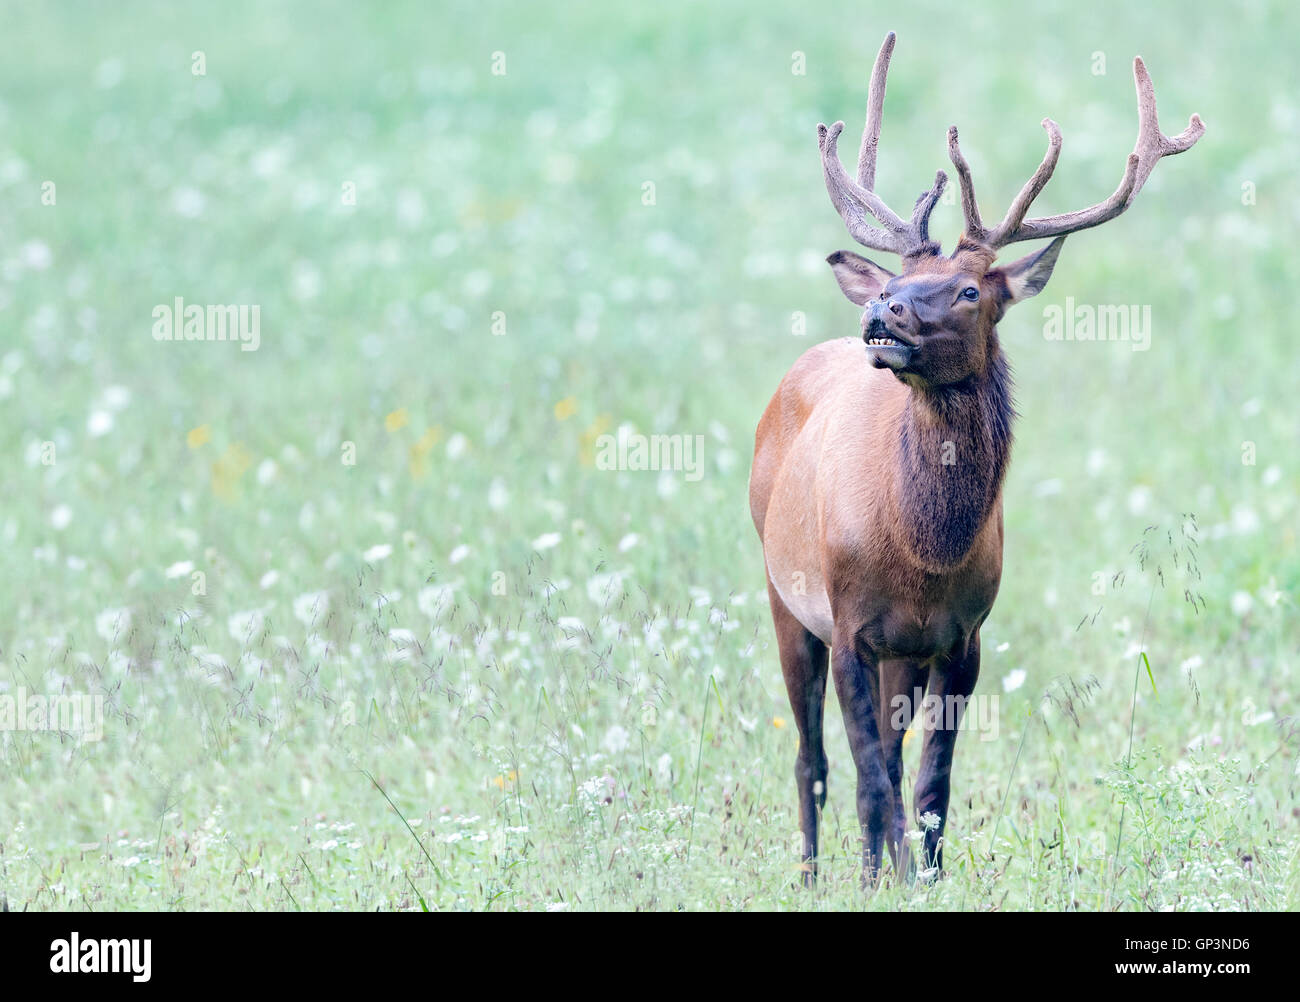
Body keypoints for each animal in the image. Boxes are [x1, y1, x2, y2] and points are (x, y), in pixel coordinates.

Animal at [749, 31, 1203, 886]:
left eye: (967, 291)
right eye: (901, 277)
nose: (880, 311)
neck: (922, 552)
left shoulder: (963, 638)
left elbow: (931, 781)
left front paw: (919, 876)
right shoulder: (848, 621)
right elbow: (870, 776)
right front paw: (888, 878)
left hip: (898, 653)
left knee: (880, 759)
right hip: (782, 595)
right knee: (812, 760)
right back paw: (814, 875)